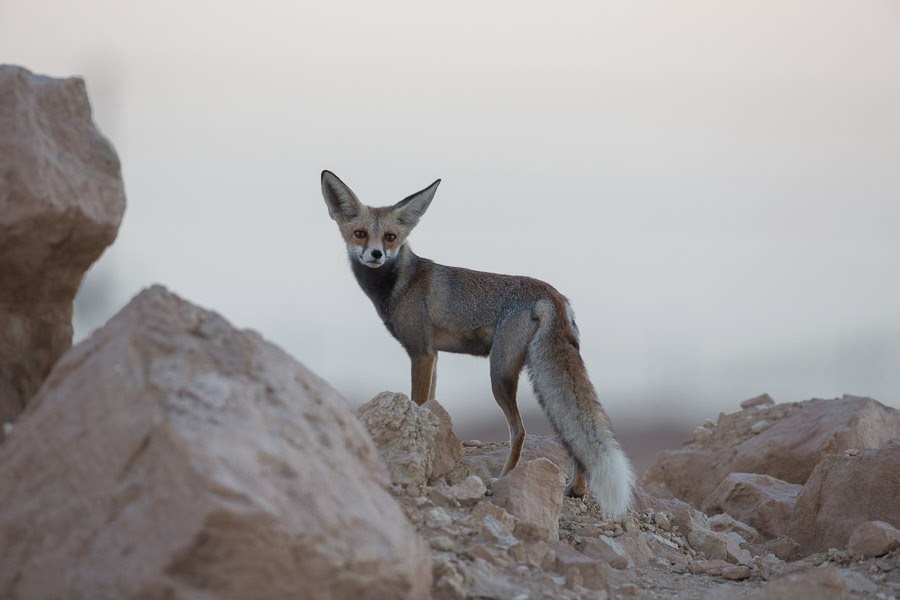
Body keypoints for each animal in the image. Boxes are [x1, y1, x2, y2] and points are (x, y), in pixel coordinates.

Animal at [321, 170, 635, 516]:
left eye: (390, 237)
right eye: (360, 234)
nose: (376, 254)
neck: (400, 282)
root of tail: (551, 294)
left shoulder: (421, 353)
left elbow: (419, 403)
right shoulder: (434, 356)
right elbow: (431, 405)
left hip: (499, 375)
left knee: (520, 431)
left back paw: (504, 479)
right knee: (573, 436)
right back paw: (576, 488)